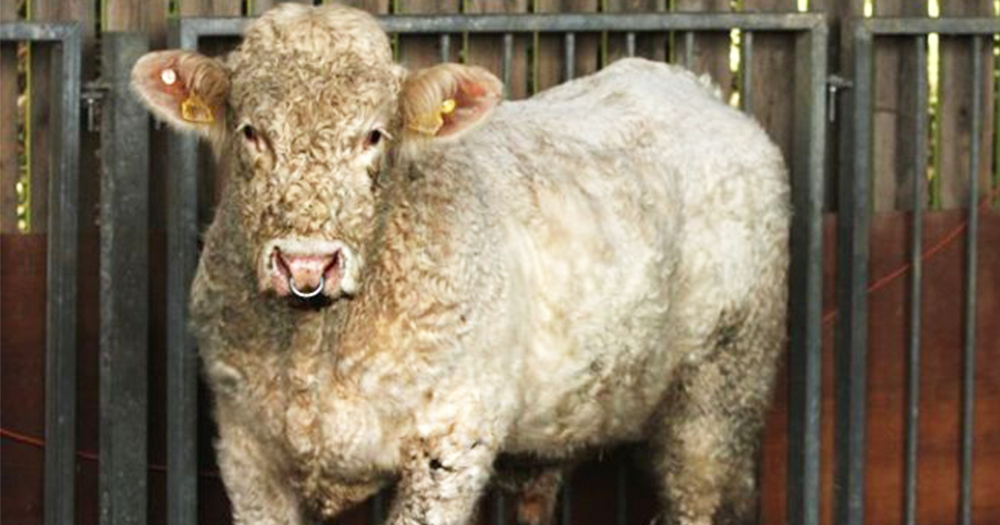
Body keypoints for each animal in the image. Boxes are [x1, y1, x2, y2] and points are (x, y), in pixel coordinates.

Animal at [131, 3, 789, 525]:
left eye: (375, 135)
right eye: (252, 132)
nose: (307, 262)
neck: (315, 350)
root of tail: (697, 87)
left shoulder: (452, 441)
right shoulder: (246, 449)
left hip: (722, 387)